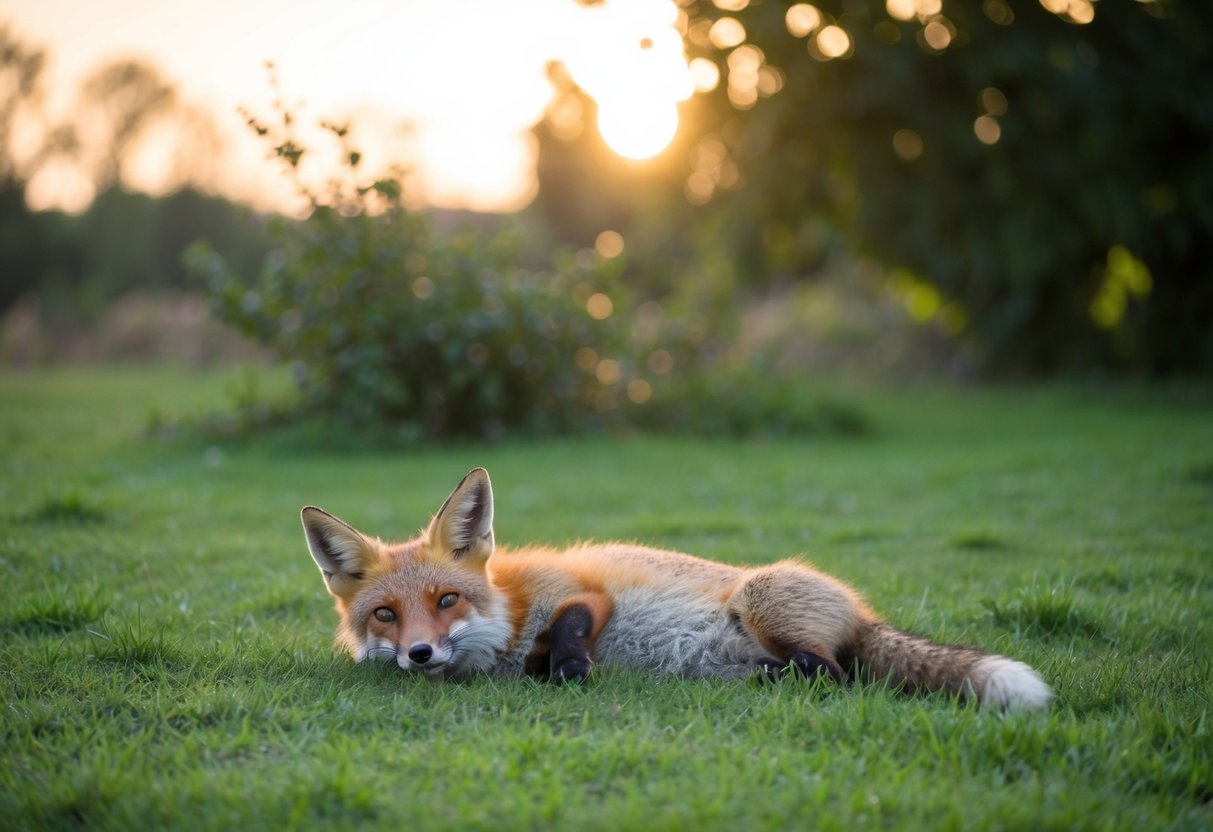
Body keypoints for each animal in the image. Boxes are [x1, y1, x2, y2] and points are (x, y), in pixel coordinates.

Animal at [301, 467, 1052, 709]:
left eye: (447, 601)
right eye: (385, 615)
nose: (420, 655)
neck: (506, 620)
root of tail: (863, 611)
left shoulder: (581, 587)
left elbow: (571, 624)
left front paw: (570, 667)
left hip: (761, 601)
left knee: (833, 674)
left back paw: (767, 678)